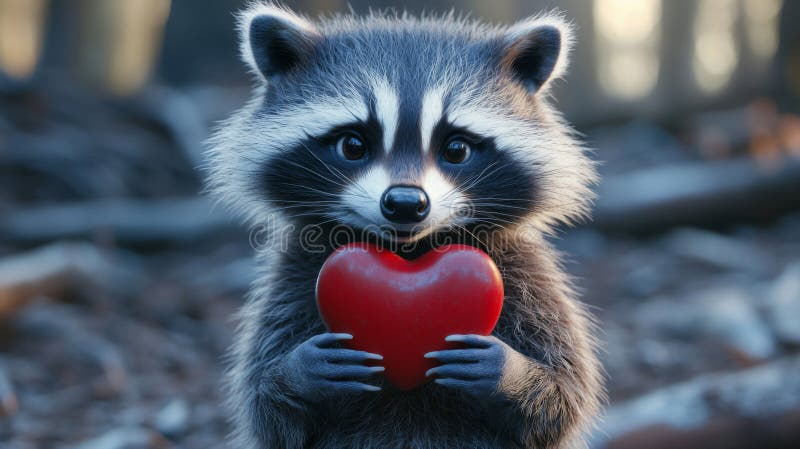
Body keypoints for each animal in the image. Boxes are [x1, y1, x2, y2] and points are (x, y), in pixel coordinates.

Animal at [205, 3, 603, 448]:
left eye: (456, 149)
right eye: (353, 145)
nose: (406, 203)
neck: (409, 249)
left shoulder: (525, 273)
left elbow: (563, 393)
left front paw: (509, 369)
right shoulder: (294, 276)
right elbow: (267, 406)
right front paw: (299, 370)